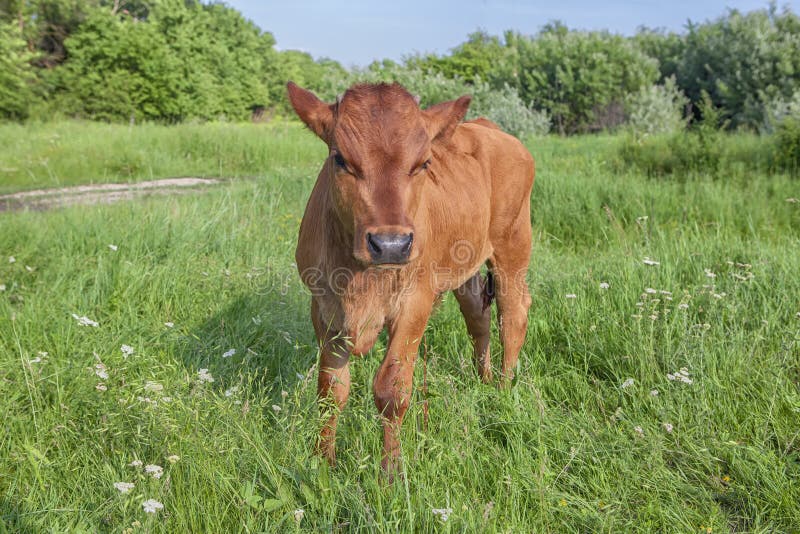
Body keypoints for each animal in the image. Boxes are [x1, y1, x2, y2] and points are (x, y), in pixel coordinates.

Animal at [287, 81, 535, 475]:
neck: (360, 282)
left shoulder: (415, 303)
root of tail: (489, 128)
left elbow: (392, 389)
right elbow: (331, 389)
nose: (391, 244)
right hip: (462, 262)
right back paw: (482, 379)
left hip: (513, 246)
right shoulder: (323, 307)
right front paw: (322, 463)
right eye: (340, 159)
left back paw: (503, 392)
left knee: (512, 316)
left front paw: (390, 473)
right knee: (477, 314)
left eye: (423, 164)